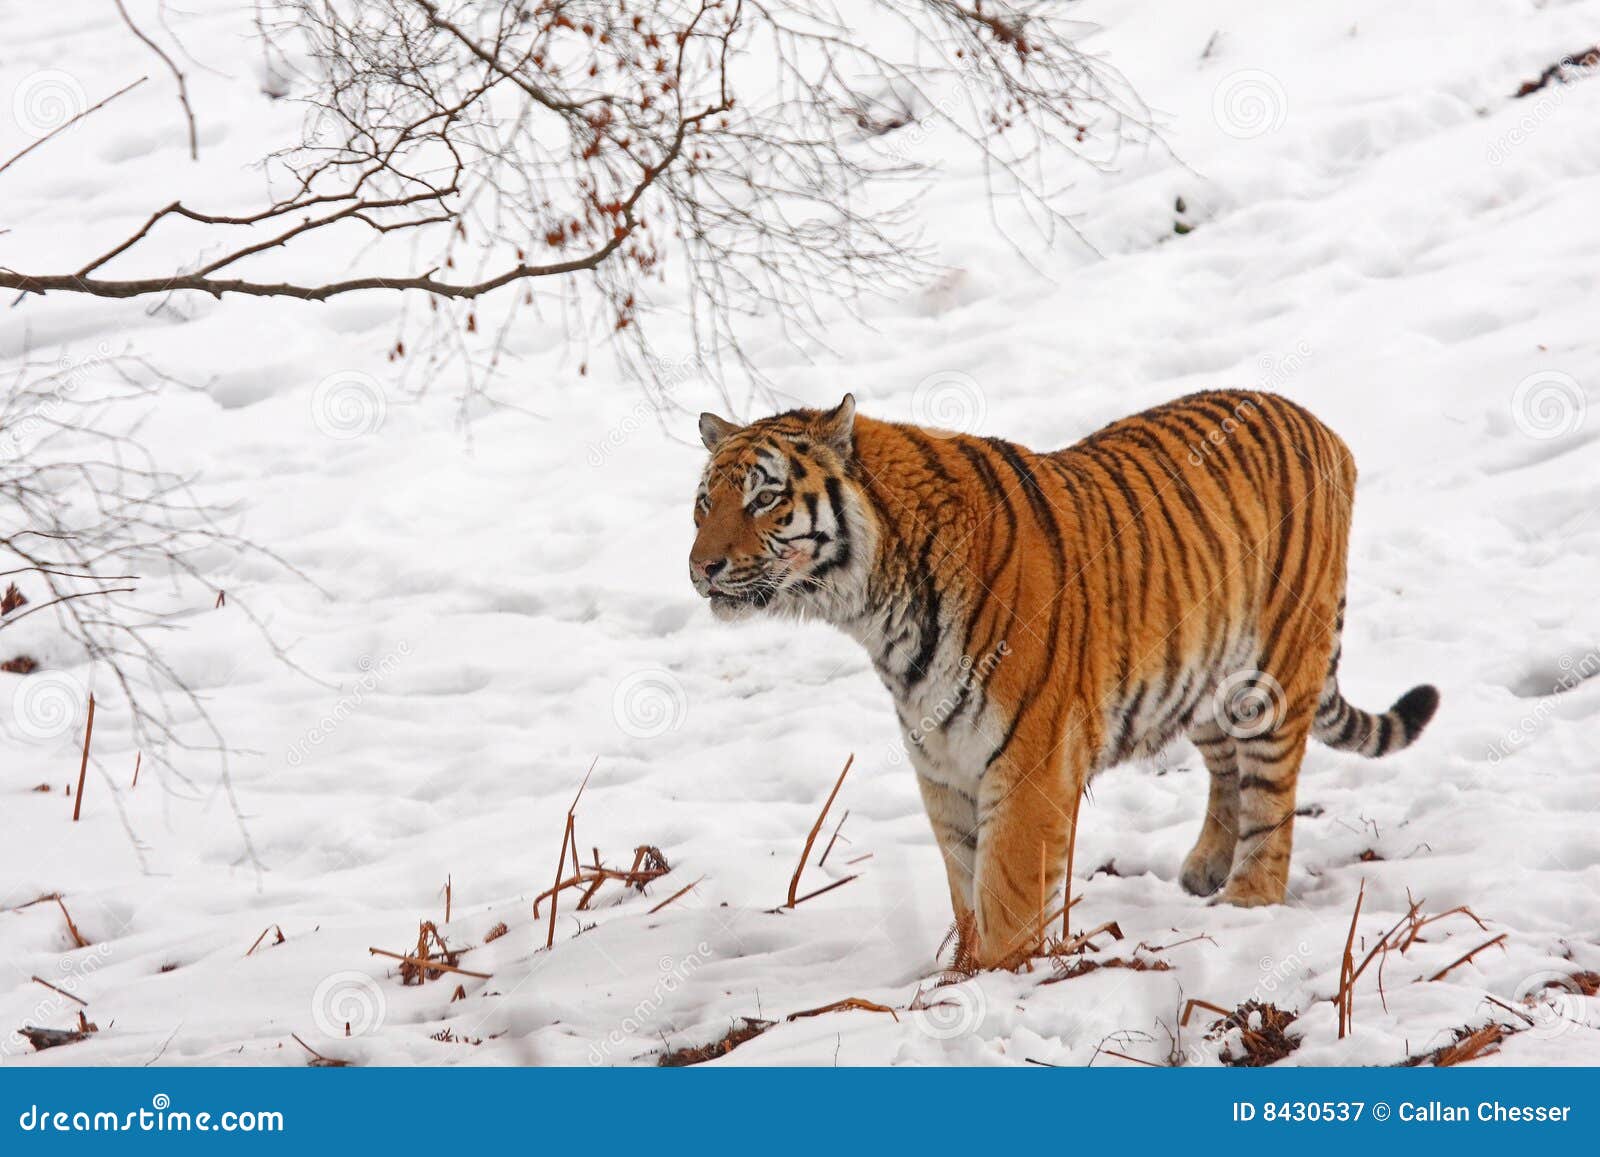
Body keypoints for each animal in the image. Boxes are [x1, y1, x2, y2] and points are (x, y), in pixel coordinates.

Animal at [689, 390, 1439, 970]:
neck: (879, 611)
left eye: (765, 497)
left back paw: (1247, 897)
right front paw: (962, 974)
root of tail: (1318, 423)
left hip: (1271, 676)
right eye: (703, 502)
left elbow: (1008, 893)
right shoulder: (942, 766)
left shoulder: (1029, 762)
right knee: (1225, 766)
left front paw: (996, 980)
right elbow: (967, 886)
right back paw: (1205, 867)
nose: (702, 568)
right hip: (1197, 675)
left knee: (1270, 795)